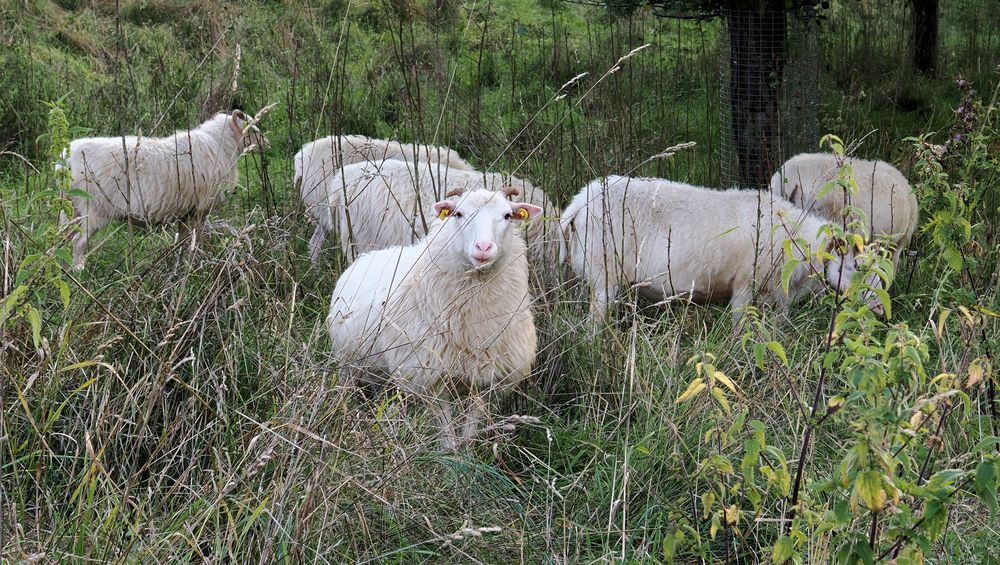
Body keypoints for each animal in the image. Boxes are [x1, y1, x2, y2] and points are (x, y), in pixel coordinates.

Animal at [60, 110, 265, 269]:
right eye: (252, 127)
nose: (266, 142)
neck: (221, 145)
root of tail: (67, 158)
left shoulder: (187, 212)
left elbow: (184, 242)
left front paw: (182, 264)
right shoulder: (200, 209)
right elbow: (195, 240)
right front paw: (194, 264)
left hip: (71, 208)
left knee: (63, 239)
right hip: (93, 209)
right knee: (78, 242)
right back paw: (79, 271)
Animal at [327, 188, 543, 450]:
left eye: (507, 216)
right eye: (458, 214)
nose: (483, 247)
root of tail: (369, 255)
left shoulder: (484, 379)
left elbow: (470, 430)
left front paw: (466, 456)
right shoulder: (431, 377)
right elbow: (446, 430)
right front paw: (448, 457)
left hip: (378, 367)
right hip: (348, 362)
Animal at [559, 176, 881, 324]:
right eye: (854, 266)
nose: (879, 309)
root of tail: (578, 203)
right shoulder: (745, 286)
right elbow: (741, 327)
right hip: (603, 275)